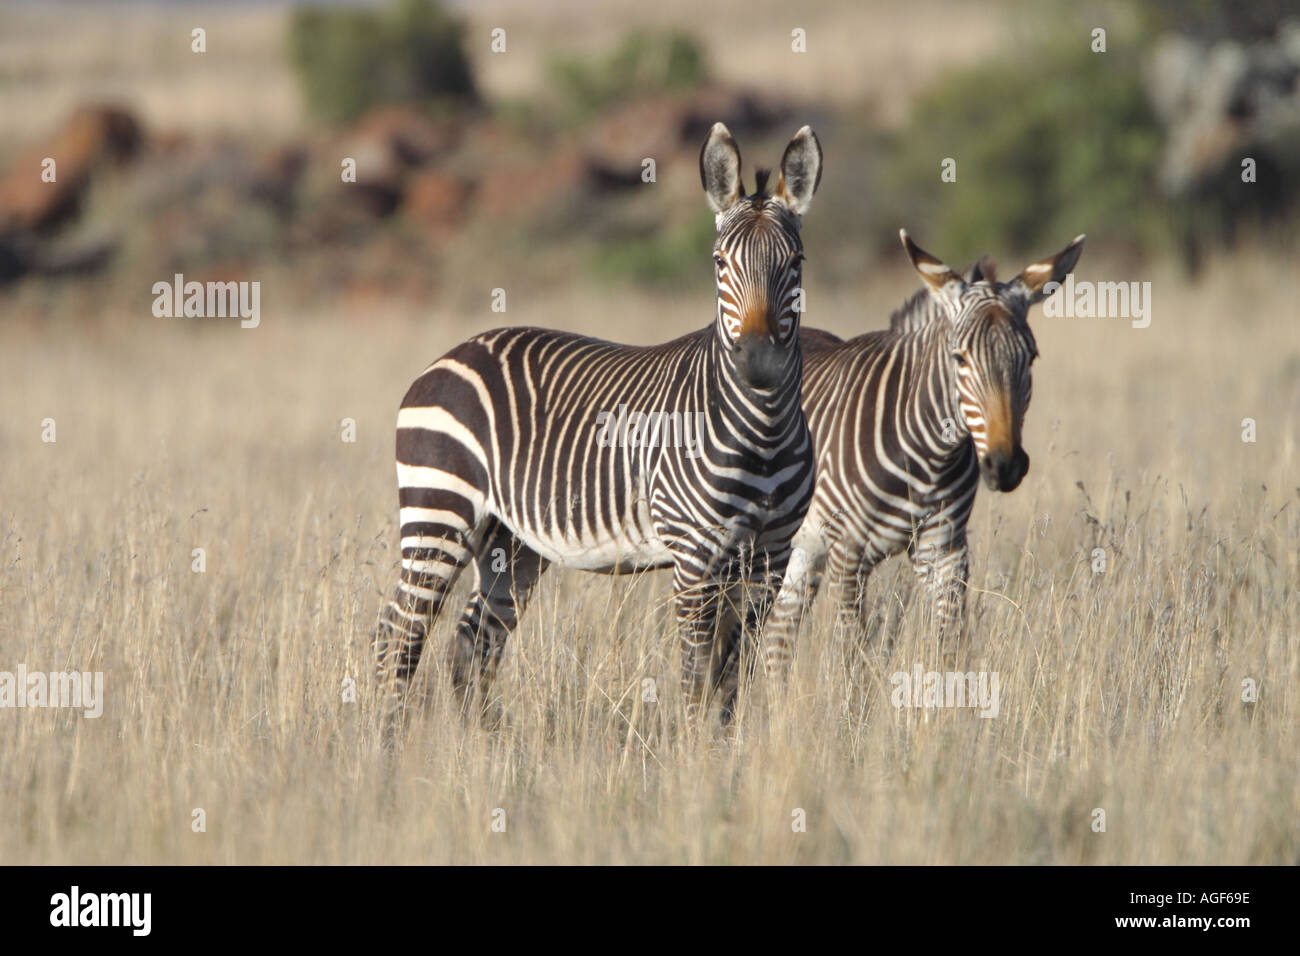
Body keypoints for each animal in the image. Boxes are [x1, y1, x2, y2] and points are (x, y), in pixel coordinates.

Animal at [374, 122, 823, 735]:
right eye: (718, 263)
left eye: (796, 262)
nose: (757, 362)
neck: (764, 432)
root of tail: (450, 355)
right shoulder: (695, 558)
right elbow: (697, 682)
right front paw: (694, 756)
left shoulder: (768, 562)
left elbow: (732, 684)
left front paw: (722, 755)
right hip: (438, 512)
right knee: (397, 636)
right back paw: (384, 748)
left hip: (510, 541)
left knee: (473, 643)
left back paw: (483, 751)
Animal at [763, 229, 1085, 677]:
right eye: (959, 358)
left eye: (1031, 358)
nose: (1005, 465)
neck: (927, 456)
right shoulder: (848, 552)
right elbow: (852, 656)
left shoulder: (946, 548)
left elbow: (949, 648)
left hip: (801, 549)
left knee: (778, 637)